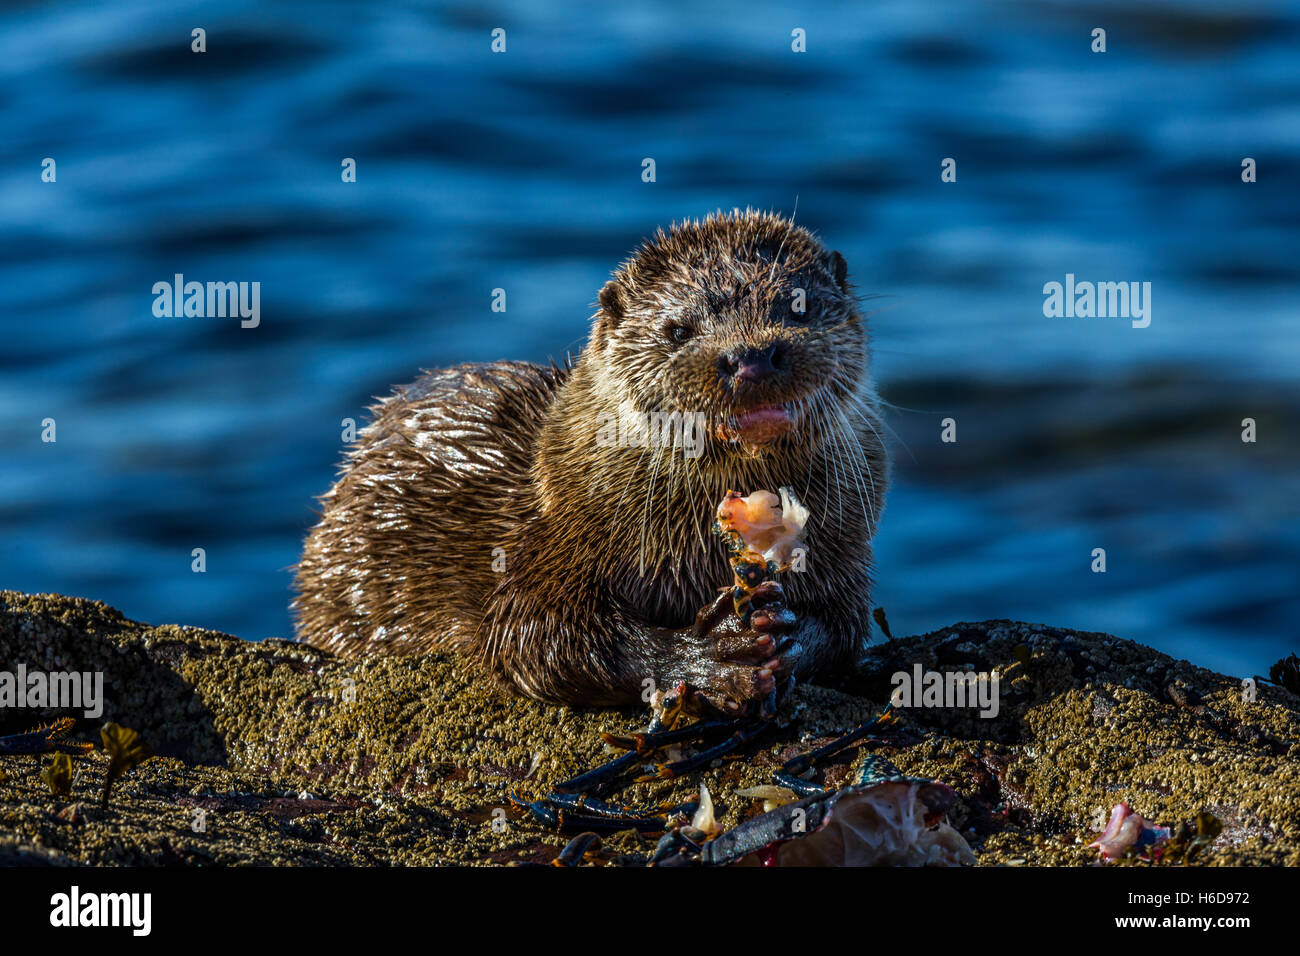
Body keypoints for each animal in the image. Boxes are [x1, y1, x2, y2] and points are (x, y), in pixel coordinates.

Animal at [292, 209, 888, 713]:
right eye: (678, 330)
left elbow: (842, 629)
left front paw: (788, 635)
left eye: (798, 307)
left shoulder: (845, 549)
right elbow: (532, 637)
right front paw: (710, 657)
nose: (751, 357)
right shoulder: (545, 546)